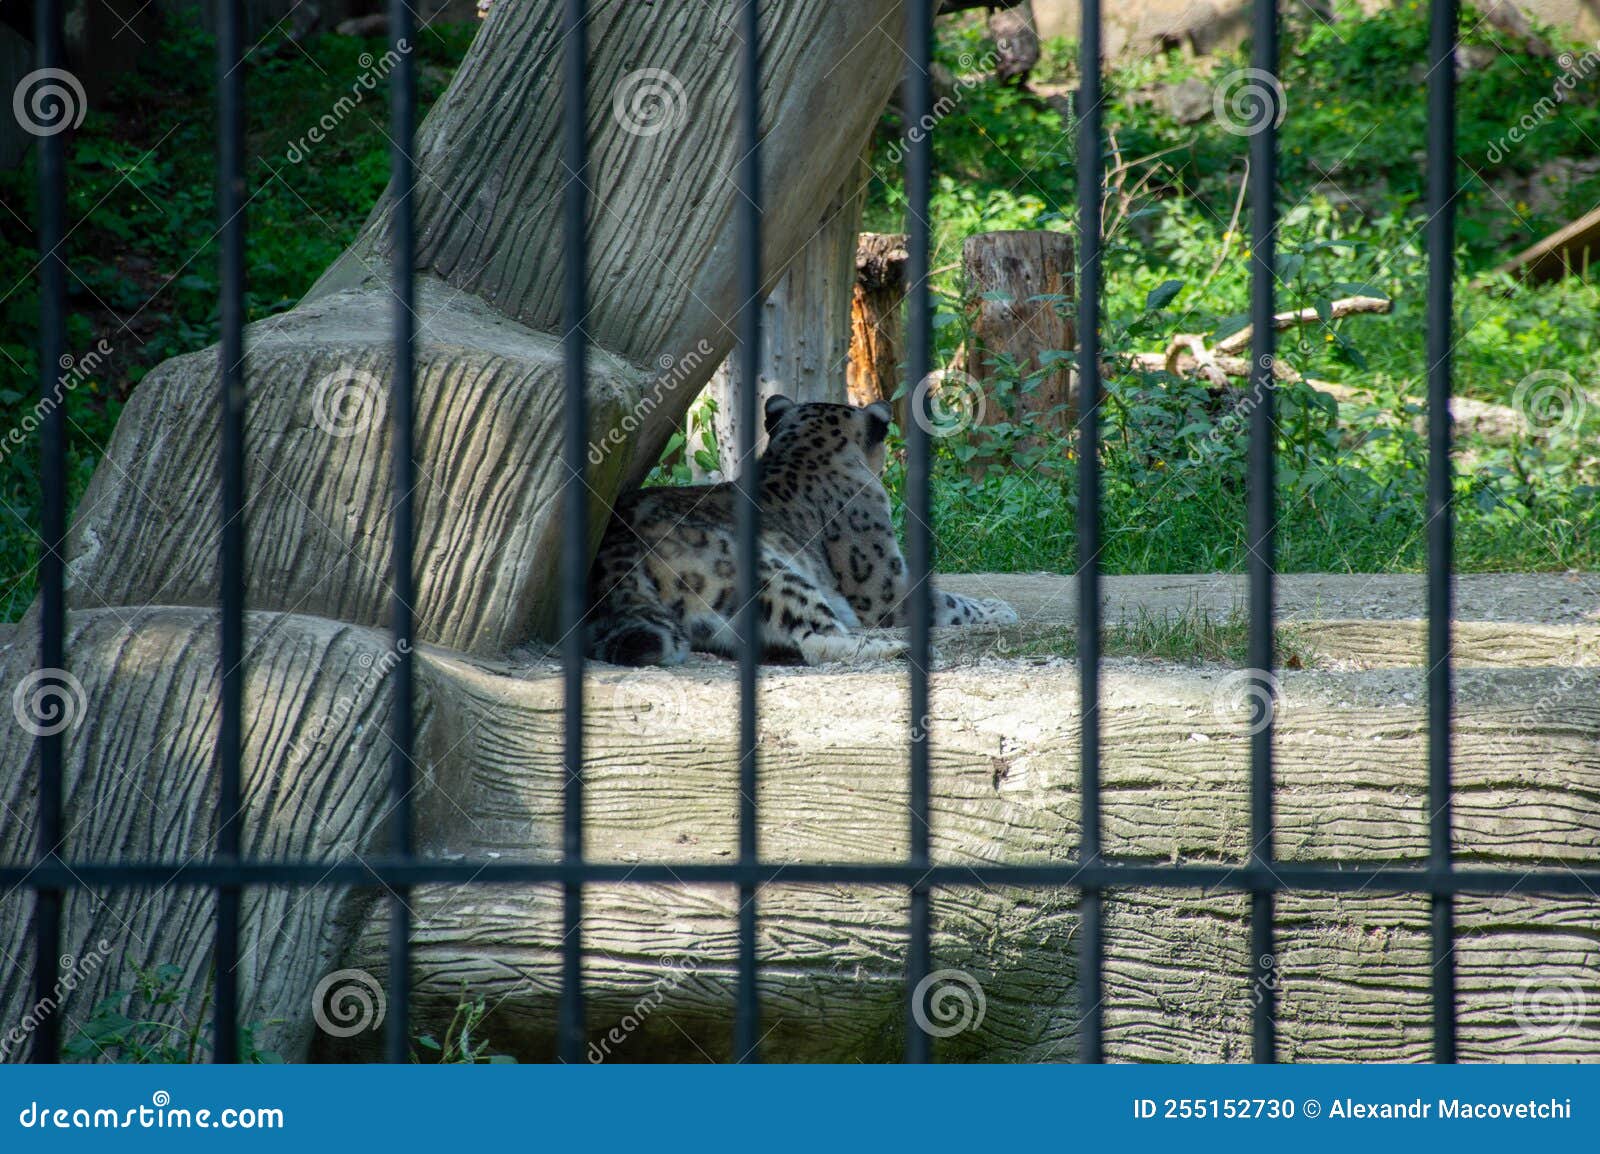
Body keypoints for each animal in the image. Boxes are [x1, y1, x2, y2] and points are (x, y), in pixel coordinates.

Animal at [586, 393, 1018, 666]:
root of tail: (612, 550)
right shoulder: (886, 588)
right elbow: (952, 601)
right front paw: (999, 607)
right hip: (775, 574)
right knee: (817, 638)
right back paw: (898, 649)